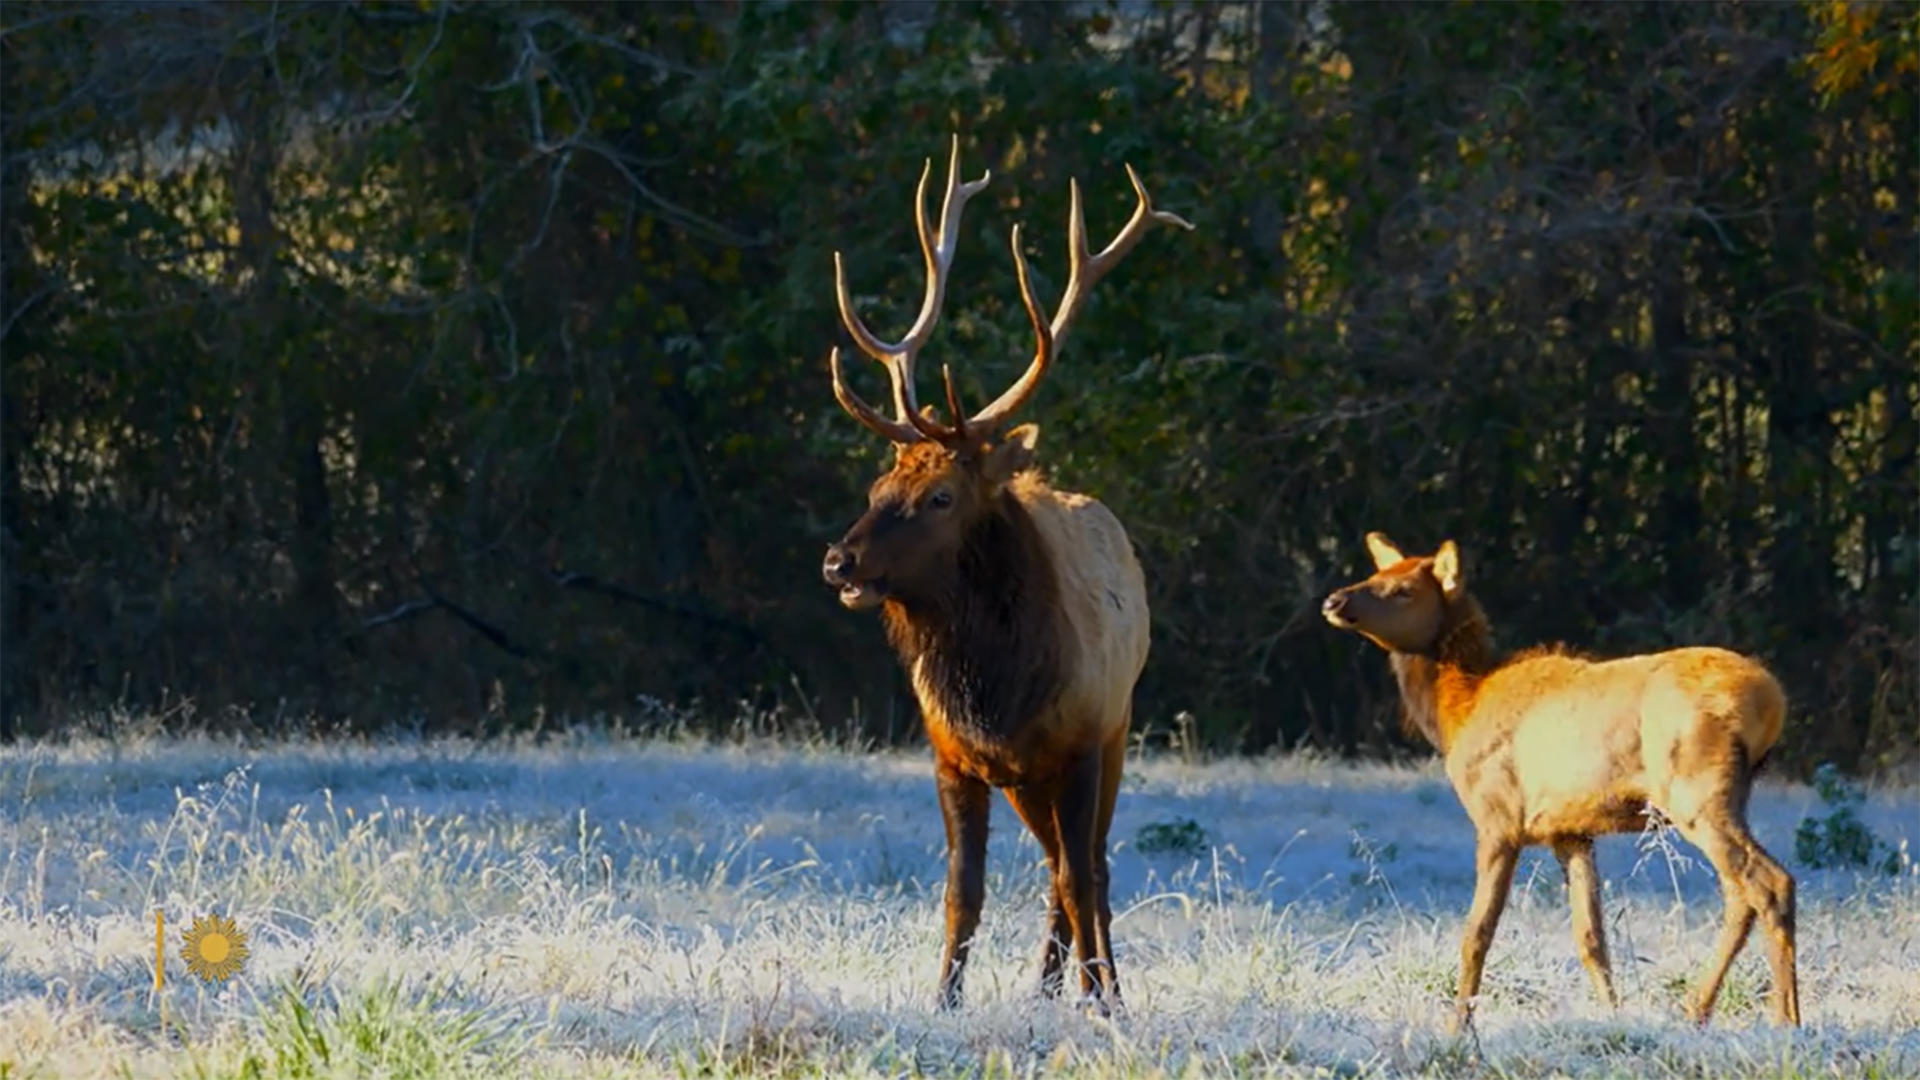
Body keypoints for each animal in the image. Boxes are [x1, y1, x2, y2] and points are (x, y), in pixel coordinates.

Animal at [818, 136, 1190, 1012]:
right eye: (878, 487)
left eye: (941, 495)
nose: (838, 561)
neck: (998, 690)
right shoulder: (954, 755)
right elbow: (965, 889)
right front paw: (945, 999)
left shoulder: (1084, 739)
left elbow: (1086, 878)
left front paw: (1109, 1000)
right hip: (1030, 778)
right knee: (1057, 866)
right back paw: (1050, 984)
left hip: (1118, 726)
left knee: (1084, 869)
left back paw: (1087, 981)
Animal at [1321, 533, 1800, 1032]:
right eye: (1376, 574)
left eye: (1403, 590)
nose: (1334, 600)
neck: (1458, 712)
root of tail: (1773, 700)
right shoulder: (1570, 831)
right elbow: (1591, 937)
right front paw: (1613, 1016)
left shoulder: (1498, 818)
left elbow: (1477, 932)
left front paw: (1458, 1027)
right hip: (1724, 796)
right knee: (1740, 894)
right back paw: (1699, 1009)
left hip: (1694, 789)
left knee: (1770, 883)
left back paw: (1784, 1019)